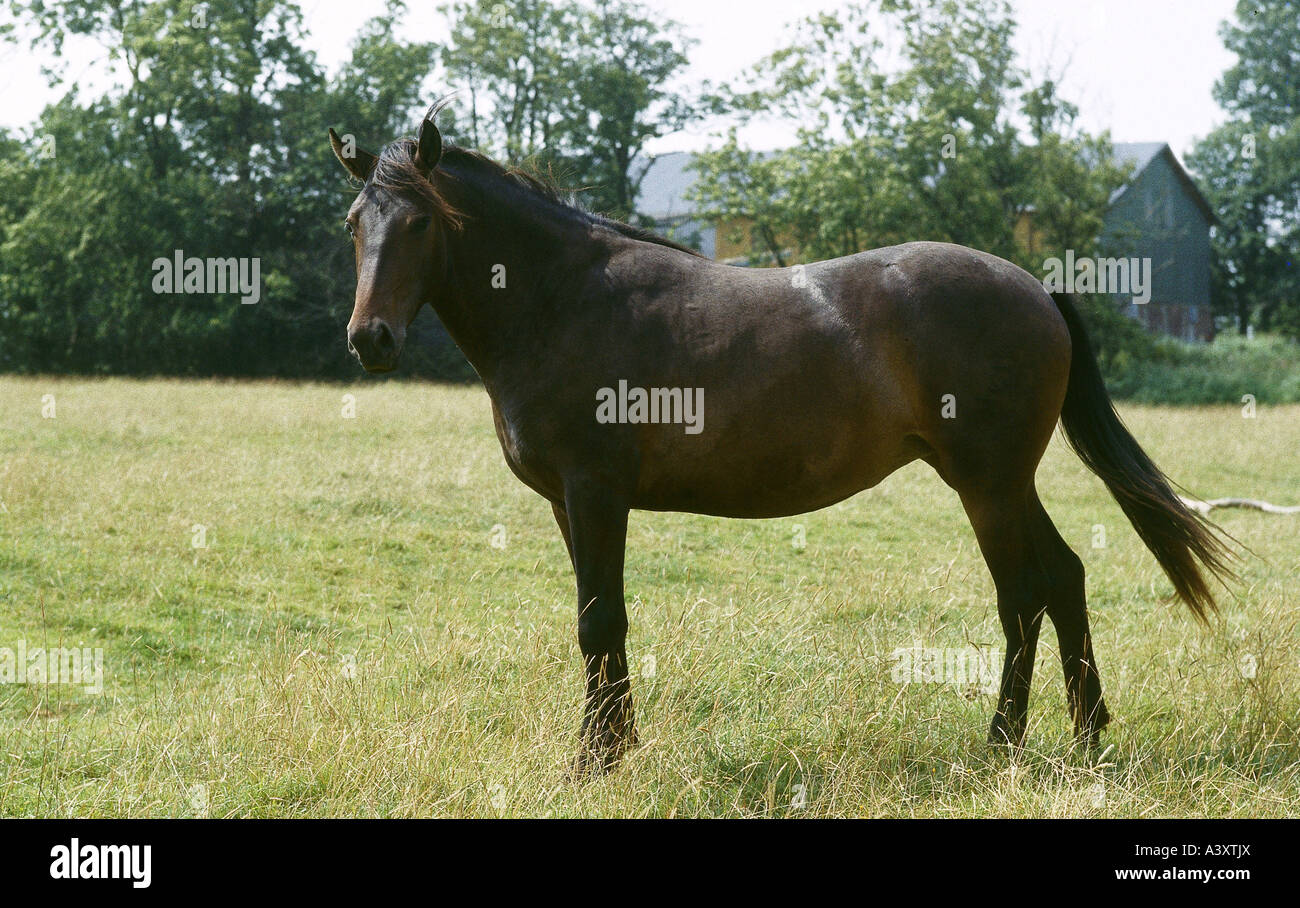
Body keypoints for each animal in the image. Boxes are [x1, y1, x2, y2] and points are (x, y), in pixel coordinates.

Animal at [328, 103, 1233, 774]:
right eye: (354, 223)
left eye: (420, 223)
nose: (370, 339)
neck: (563, 299)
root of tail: (1035, 286)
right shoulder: (567, 504)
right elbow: (599, 621)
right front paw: (616, 746)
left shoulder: (595, 493)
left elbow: (600, 622)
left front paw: (593, 761)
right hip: (1004, 482)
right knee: (1064, 578)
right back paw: (1085, 736)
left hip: (987, 484)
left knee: (1024, 593)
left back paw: (1002, 745)